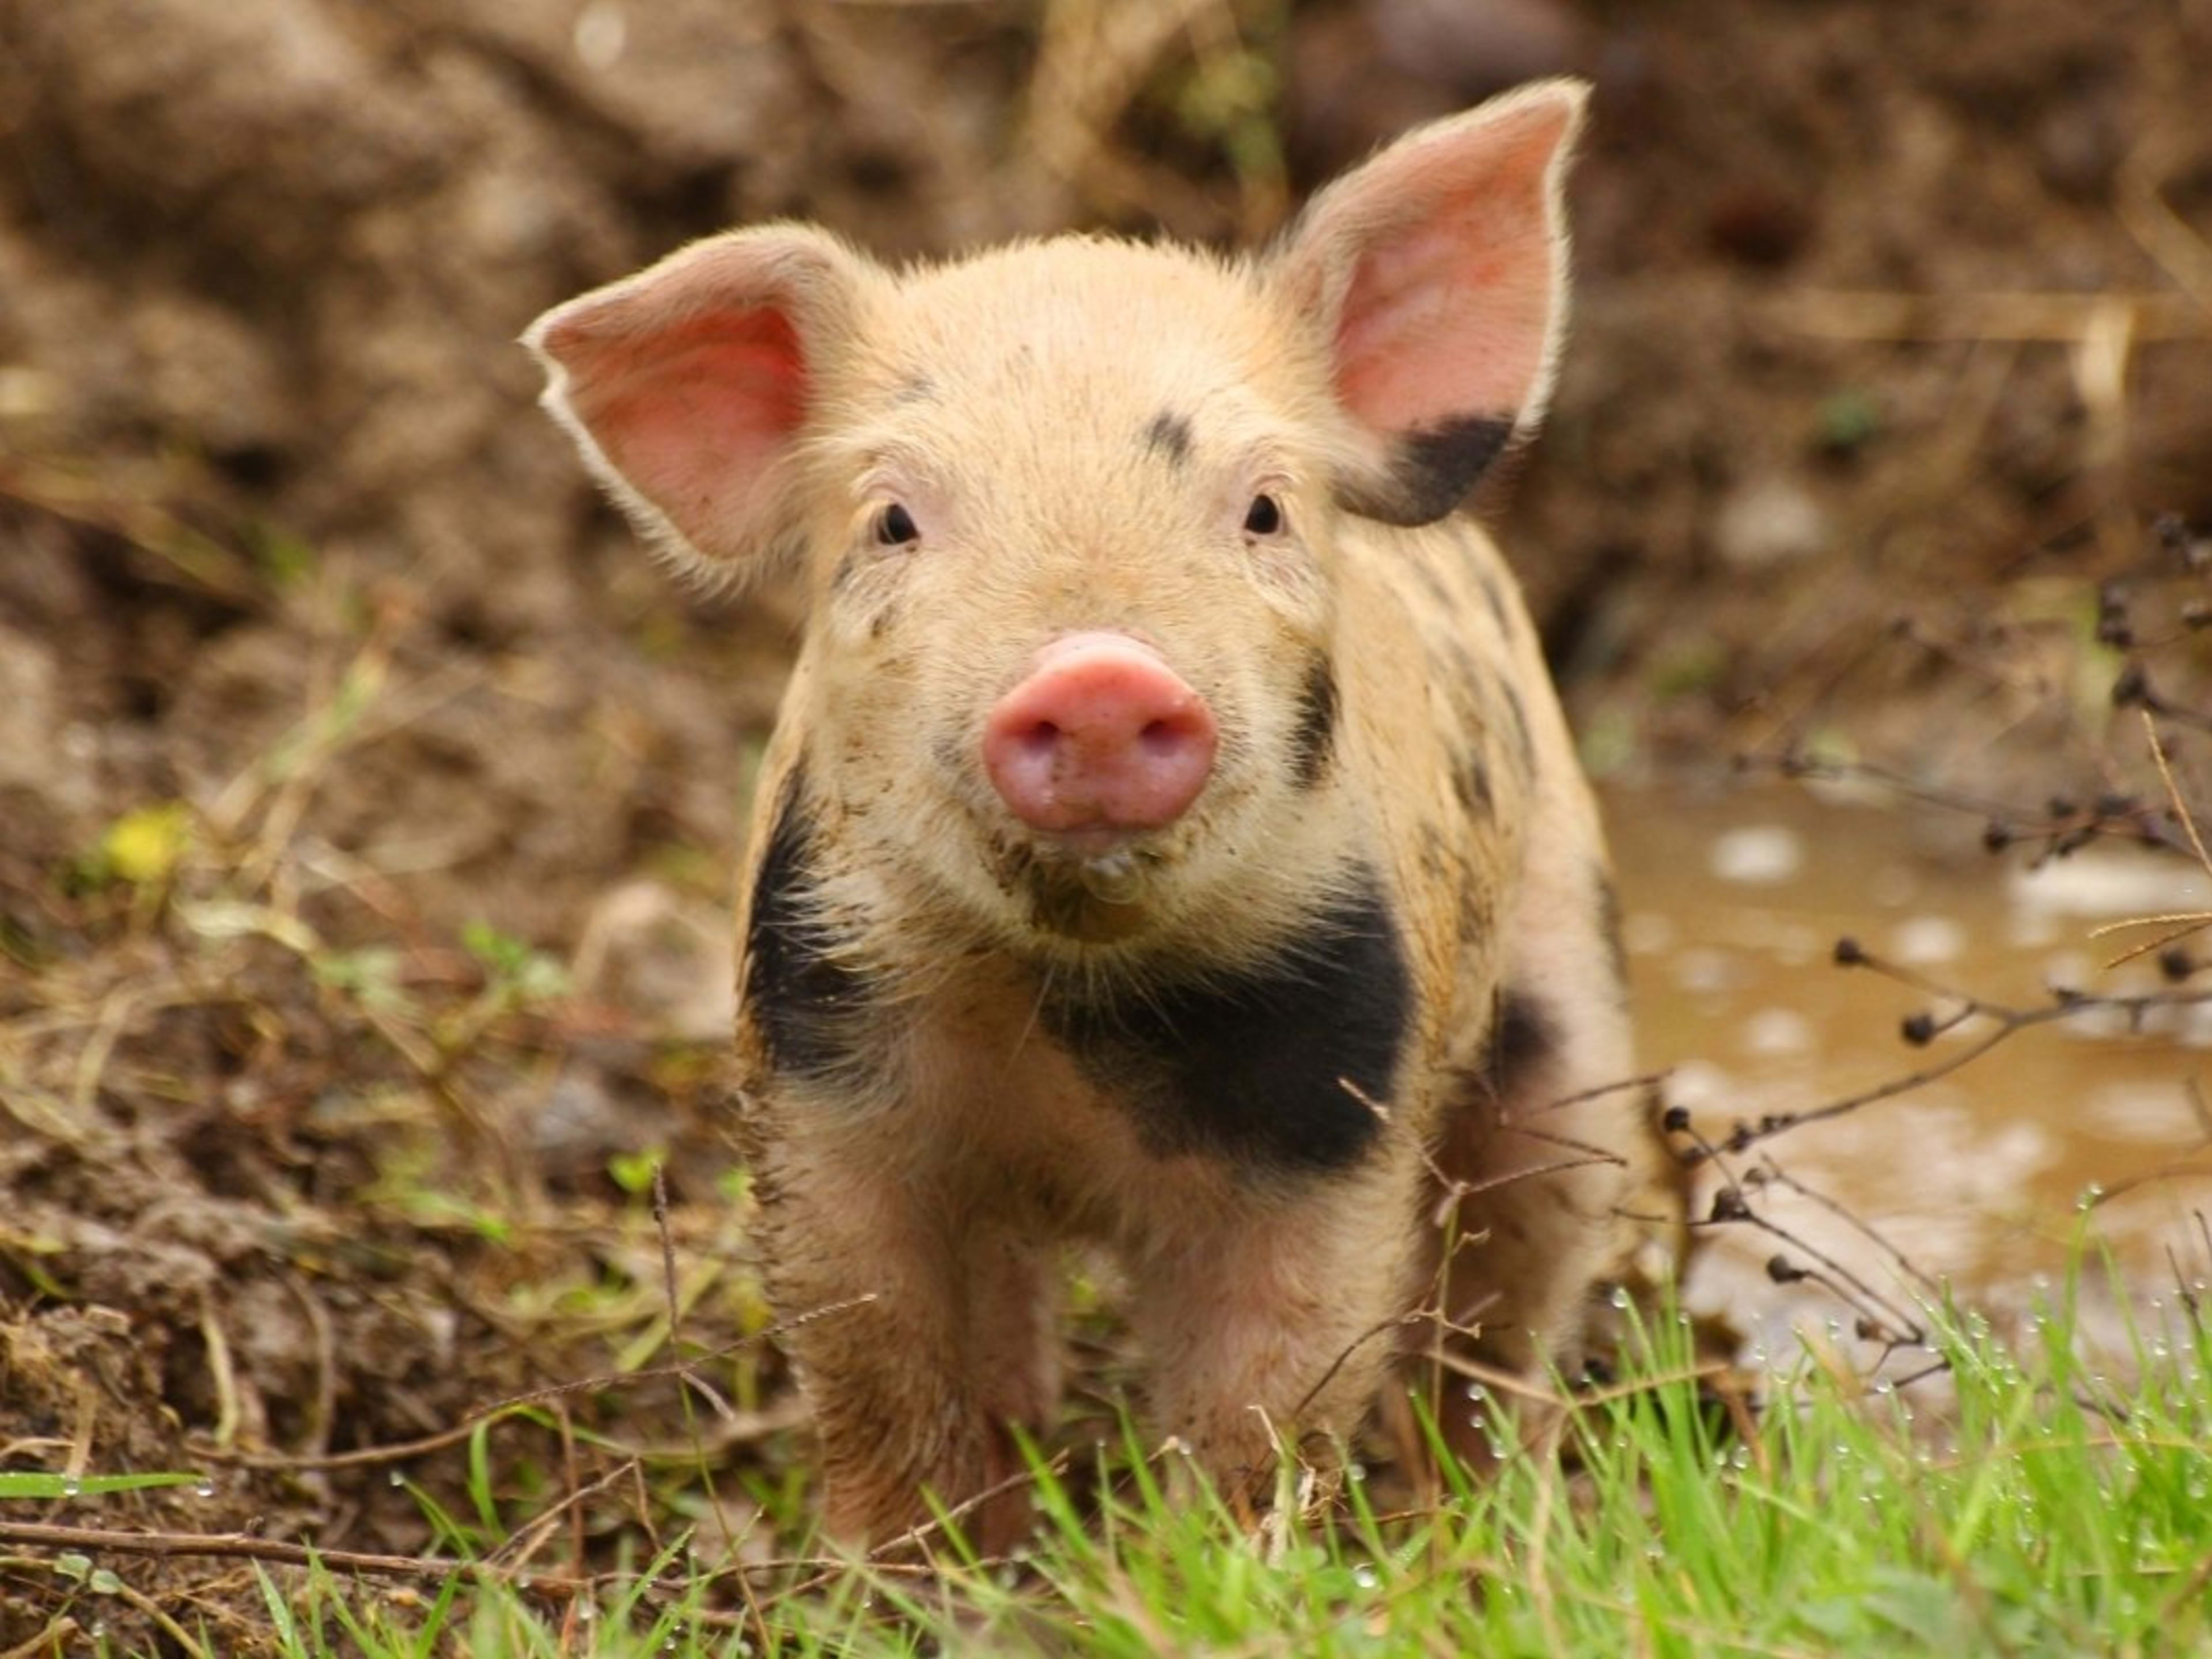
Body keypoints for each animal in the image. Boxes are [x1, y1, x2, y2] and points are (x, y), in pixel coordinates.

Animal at [525, 78, 1677, 1549]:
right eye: (892, 521)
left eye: (1263, 509)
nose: (1097, 674)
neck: (1070, 1018)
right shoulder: (820, 1077)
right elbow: (873, 1361)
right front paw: (895, 1571)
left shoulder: (1334, 1112)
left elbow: (1269, 1392)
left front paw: (1207, 1569)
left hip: (1565, 973)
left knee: (1515, 1289)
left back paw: (1485, 1532)